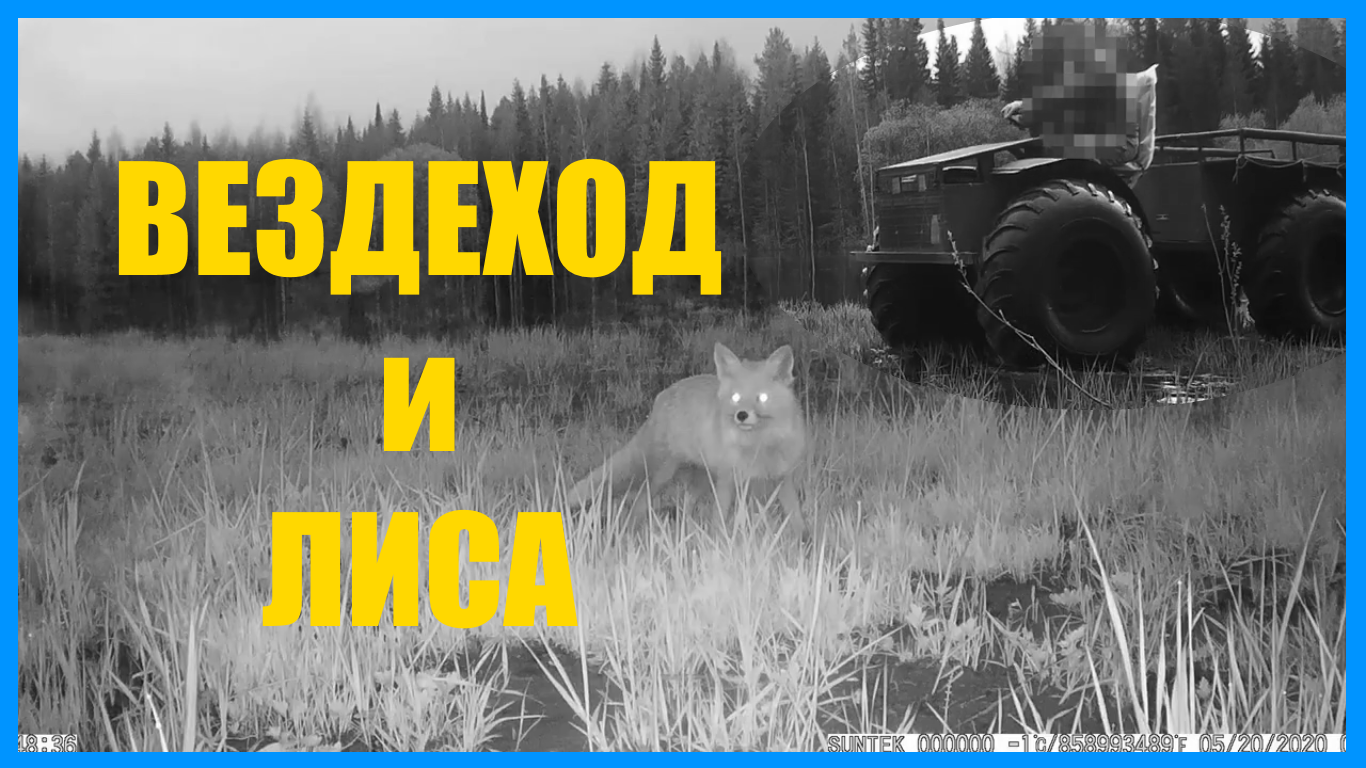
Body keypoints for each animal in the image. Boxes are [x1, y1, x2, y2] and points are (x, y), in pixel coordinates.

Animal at [563, 342, 809, 539]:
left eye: (762, 398)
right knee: (639, 504)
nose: (741, 415)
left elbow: (797, 520)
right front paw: (721, 548)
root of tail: (662, 395)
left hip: (701, 479)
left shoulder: (782, 479)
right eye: (736, 397)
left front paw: (804, 547)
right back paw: (629, 536)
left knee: (684, 507)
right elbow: (719, 522)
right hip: (662, 477)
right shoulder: (728, 481)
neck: (759, 446)